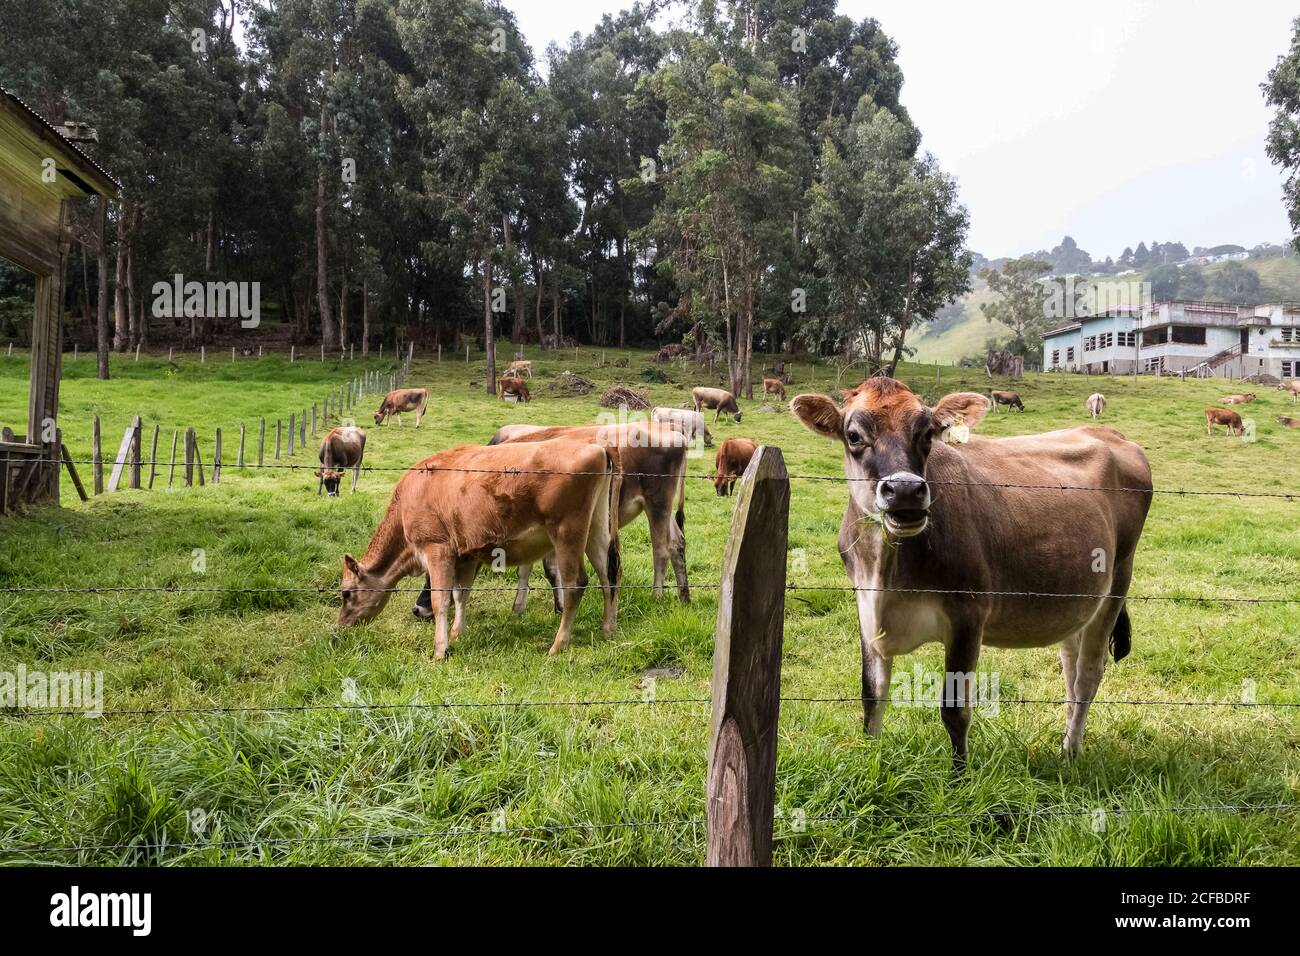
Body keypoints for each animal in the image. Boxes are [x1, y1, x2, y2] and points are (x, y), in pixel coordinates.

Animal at [339, 438, 621, 658]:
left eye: (345, 593)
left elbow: (441, 600)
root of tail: (596, 447)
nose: (341, 626)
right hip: (596, 527)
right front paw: (456, 634)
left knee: (576, 584)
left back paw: (558, 645)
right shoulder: (465, 555)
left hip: (567, 531)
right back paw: (608, 630)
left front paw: (440, 650)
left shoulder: (436, 548)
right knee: (609, 576)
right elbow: (460, 595)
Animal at [414, 421, 691, 618]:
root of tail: (670, 430)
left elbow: (550, 569)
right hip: (663, 509)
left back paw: (657, 596)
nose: (418, 609)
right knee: (677, 544)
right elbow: (526, 568)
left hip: (658, 503)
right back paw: (684, 595)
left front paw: (559, 605)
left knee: (661, 549)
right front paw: (519, 607)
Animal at [791, 378, 1152, 764]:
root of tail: (1109, 432)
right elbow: (871, 695)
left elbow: (954, 710)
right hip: (1077, 596)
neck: (885, 573)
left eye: (927, 433)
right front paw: (871, 759)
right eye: (854, 435)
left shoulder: (968, 614)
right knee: (1070, 664)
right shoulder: (865, 606)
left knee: (1088, 672)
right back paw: (1068, 742)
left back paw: (1070, 752)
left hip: (1118, 578)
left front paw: (959, 775)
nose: (905, 491)